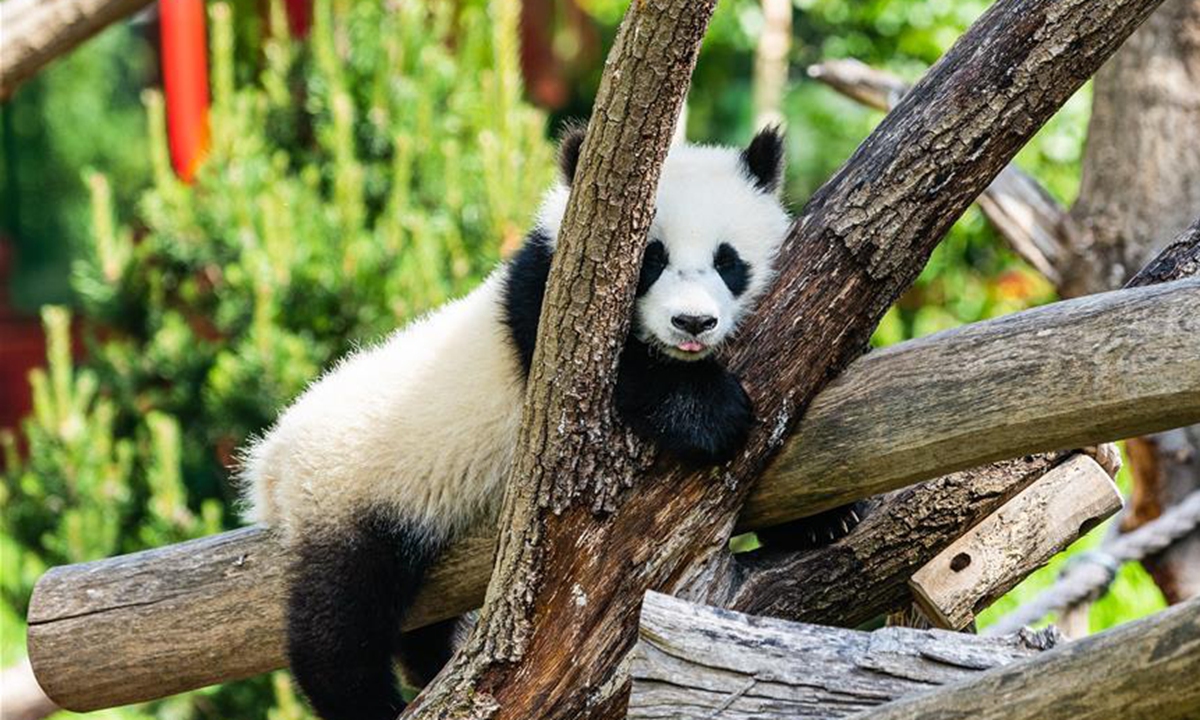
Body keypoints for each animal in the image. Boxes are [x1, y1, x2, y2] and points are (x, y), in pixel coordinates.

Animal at [239, 126, 863, 720]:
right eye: (652, 259)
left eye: (727, 260)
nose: (692, 322)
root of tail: (273, 459)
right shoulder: (552, 305)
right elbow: (616, 372)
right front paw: (711, 413)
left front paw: (826, 520)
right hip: (351, 491)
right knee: (341, 615)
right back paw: (368, 702)